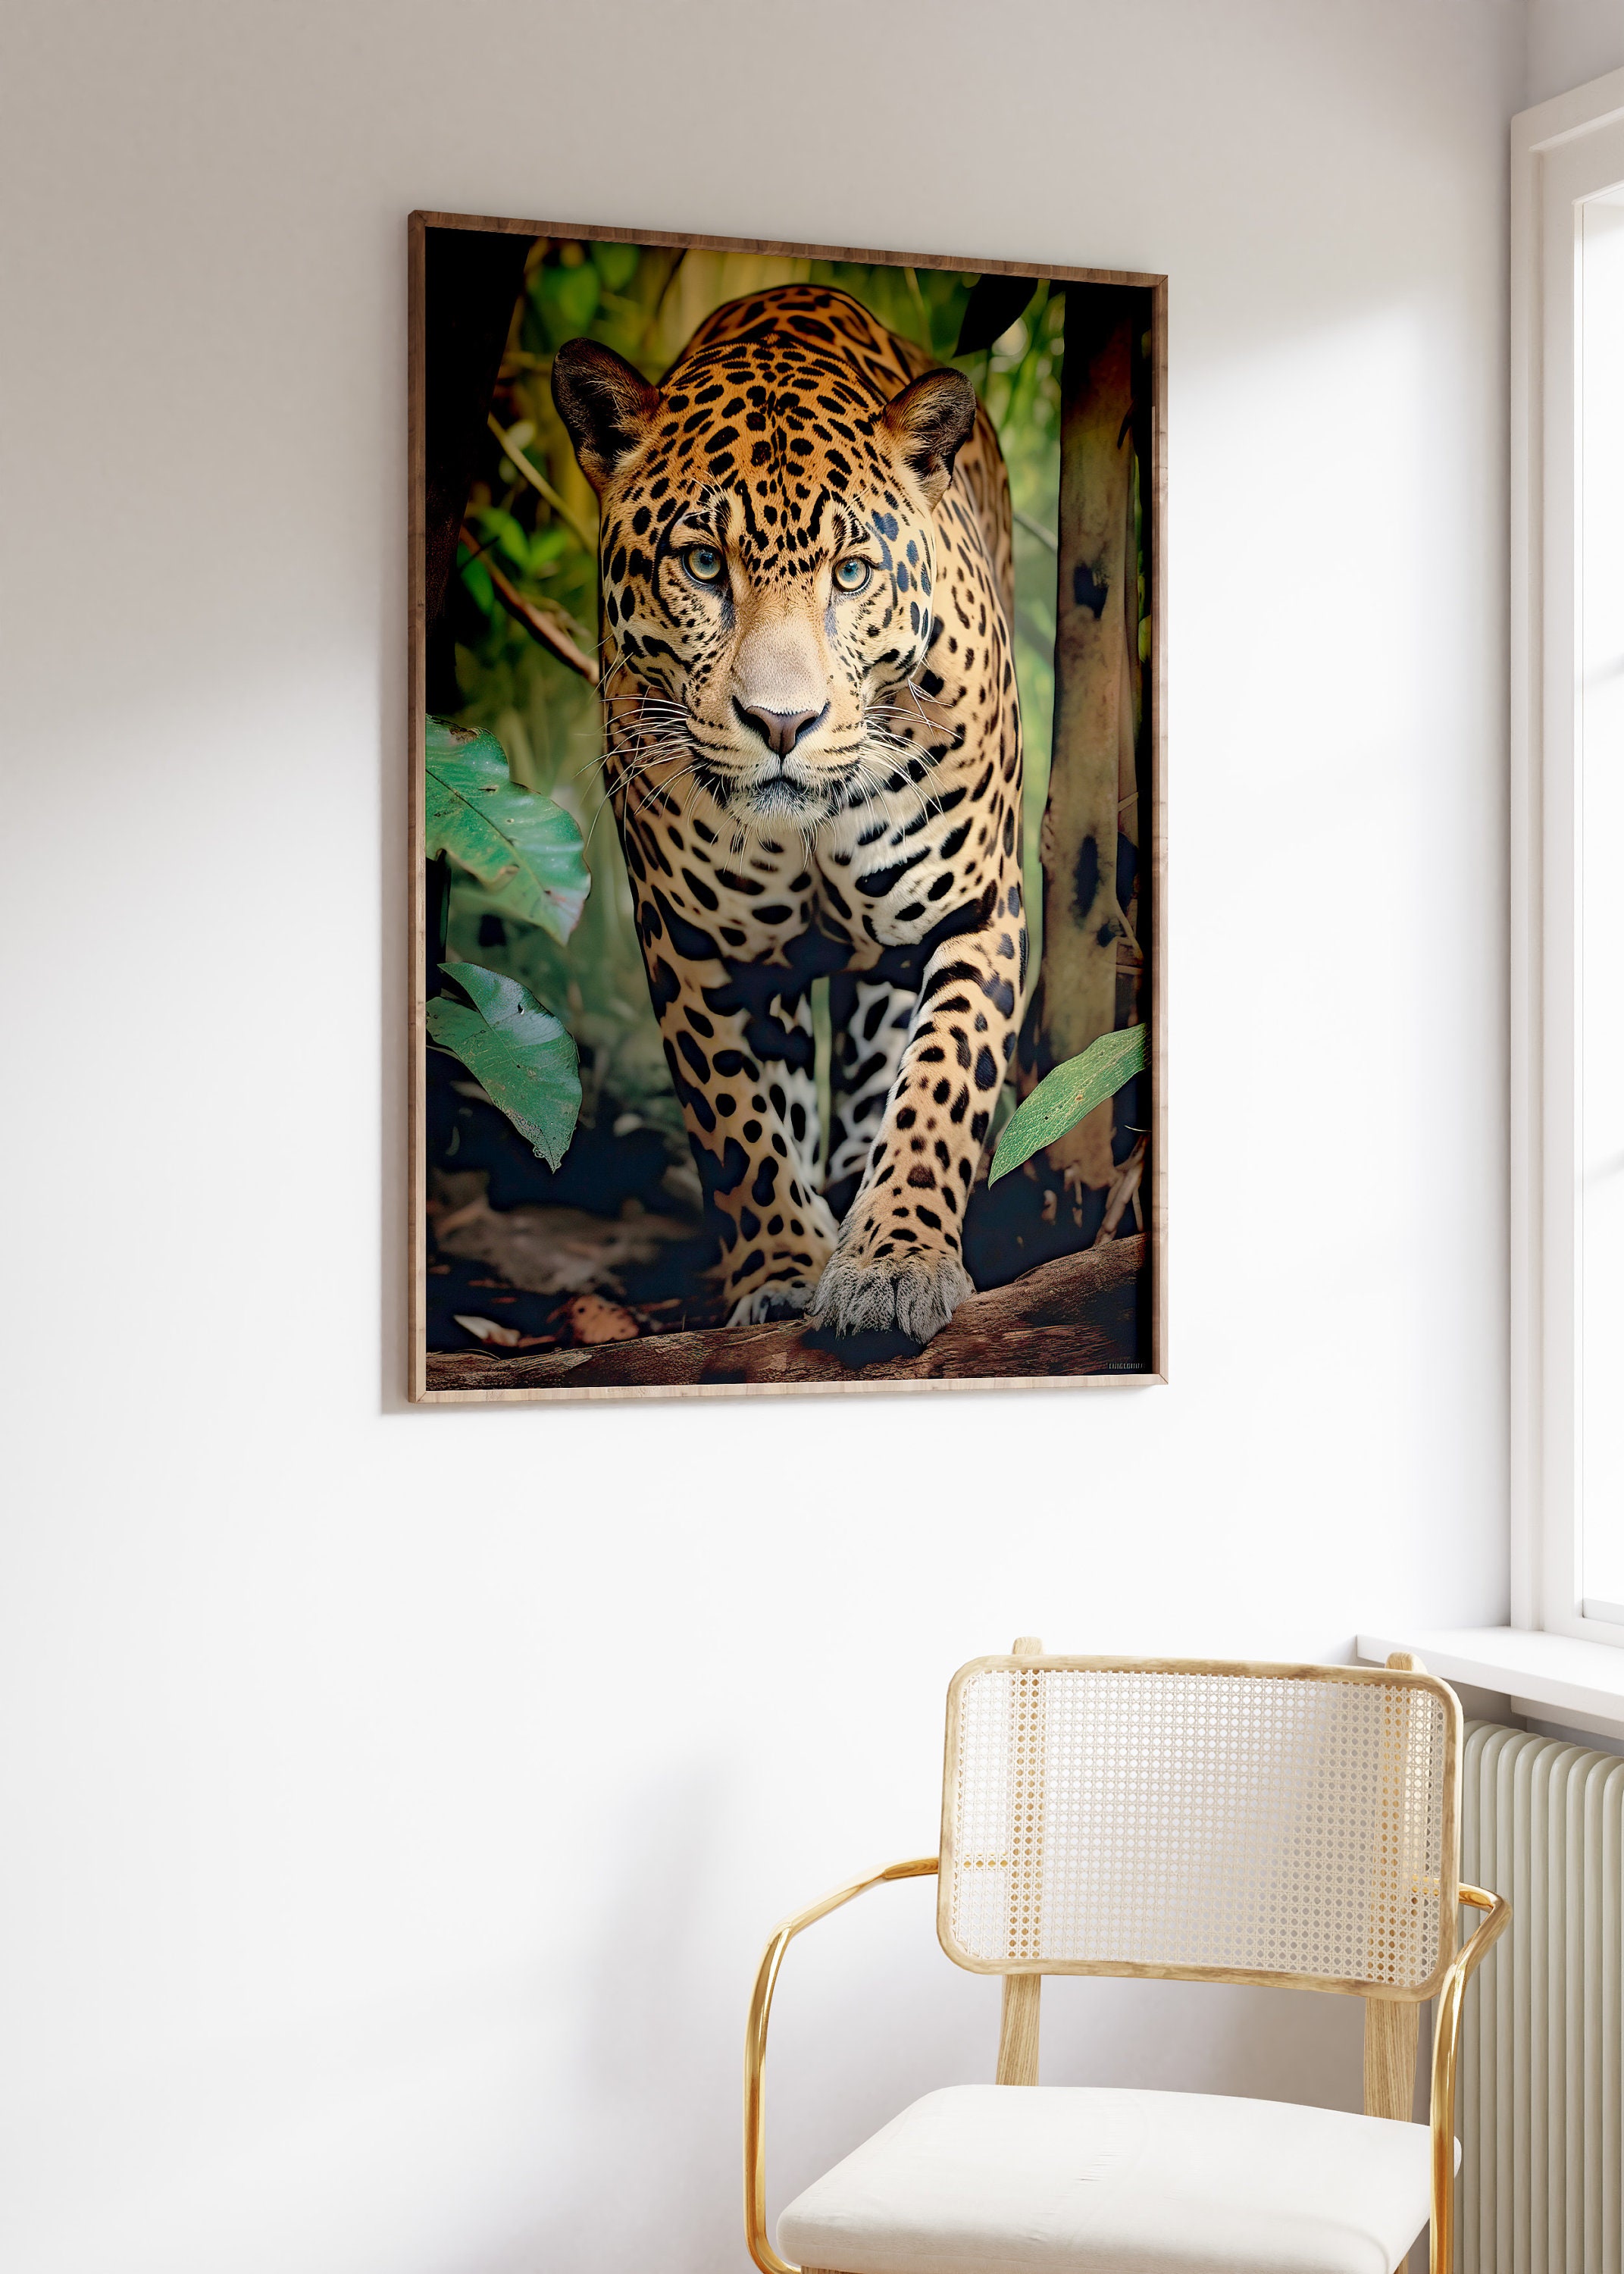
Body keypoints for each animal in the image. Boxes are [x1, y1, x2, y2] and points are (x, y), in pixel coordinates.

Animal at [552, 283, 1025, 1343]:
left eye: (850, 573)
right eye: (700, 564)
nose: (781, 722)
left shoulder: (975, 909)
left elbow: (939, 1084)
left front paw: (893, 1263)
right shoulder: (693, 941)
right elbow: (738, 1124)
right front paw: (780, 1270)